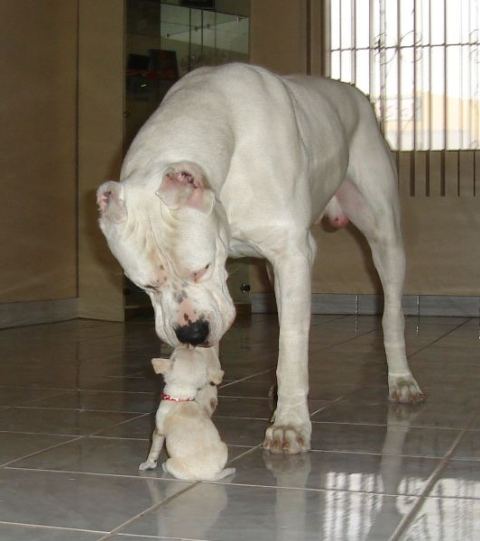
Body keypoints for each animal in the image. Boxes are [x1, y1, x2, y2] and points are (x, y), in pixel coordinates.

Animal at [96, 62, 424, 452]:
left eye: (202, 268)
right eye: (145, 286)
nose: (192, 332)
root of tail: (353, 91)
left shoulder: (292, 257)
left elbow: (291, 346)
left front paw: (290, 423)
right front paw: (199, 397)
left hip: (385, 238)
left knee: (391, 310)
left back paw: (402, 379)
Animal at [138, 344, 235, 478]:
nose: (188, 344)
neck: (181, 398)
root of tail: (211, 475)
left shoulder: (158, 431)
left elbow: (153, 451)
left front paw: (147, 464)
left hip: (173, 464)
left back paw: (164, 467)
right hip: (223, 446)